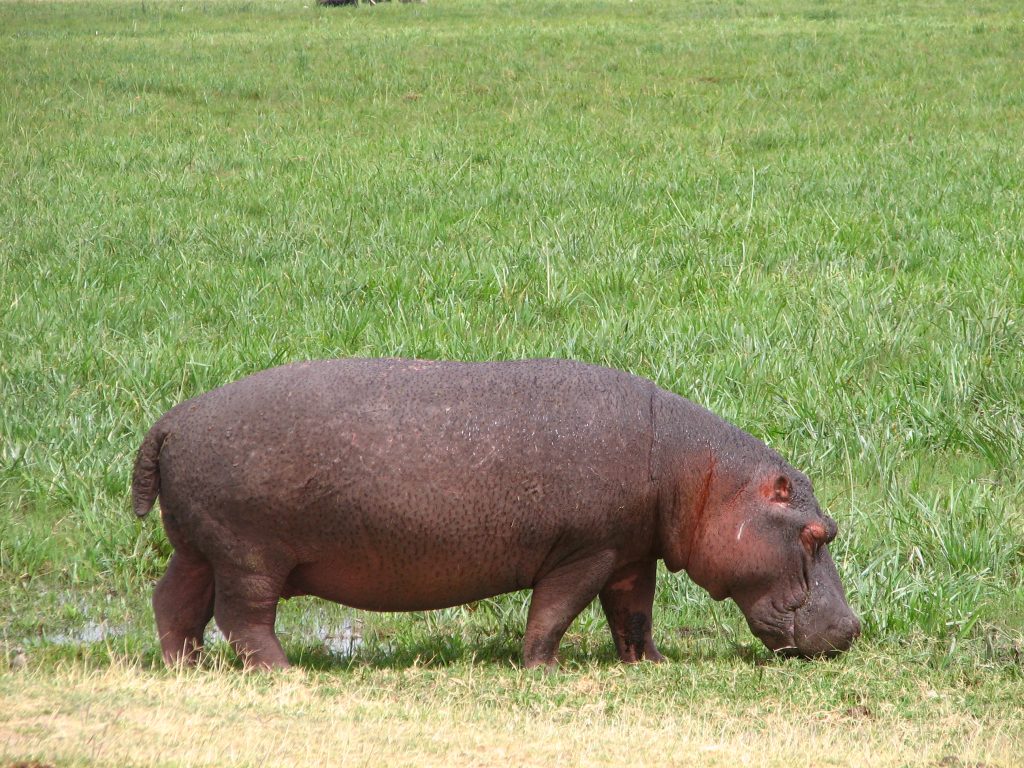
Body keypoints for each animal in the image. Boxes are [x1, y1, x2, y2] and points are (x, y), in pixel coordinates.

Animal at [132, 358, 859, 669]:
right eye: (816, 533)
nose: (852, 628)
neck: (696, 471)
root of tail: (171, 420)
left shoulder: (631, 552)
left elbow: (633, 613)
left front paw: (652, 664)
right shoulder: (585, 550)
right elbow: (555, 610)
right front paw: (542, 669)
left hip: (198, 547)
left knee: (174, 601)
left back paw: (185, 666)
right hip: (248, 555)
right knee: (244, 619)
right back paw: (284, 673)